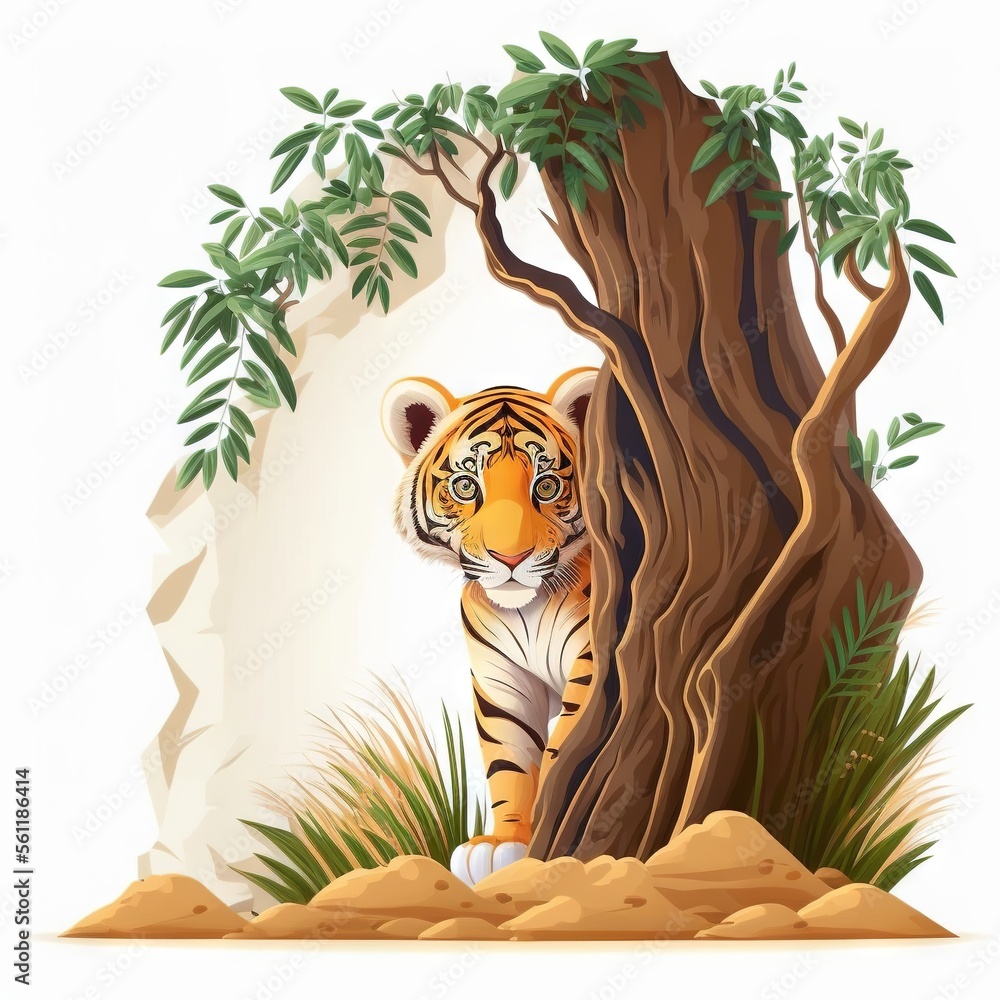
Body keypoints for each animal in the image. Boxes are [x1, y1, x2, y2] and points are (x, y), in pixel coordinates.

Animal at [381, 368, 598, 886]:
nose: (510, 559)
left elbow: (562, 746)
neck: (527, 609)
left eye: (545, 486)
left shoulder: (591, 658)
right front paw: (503, 845)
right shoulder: (502, 681)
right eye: (465, 486)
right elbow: (509, 756)